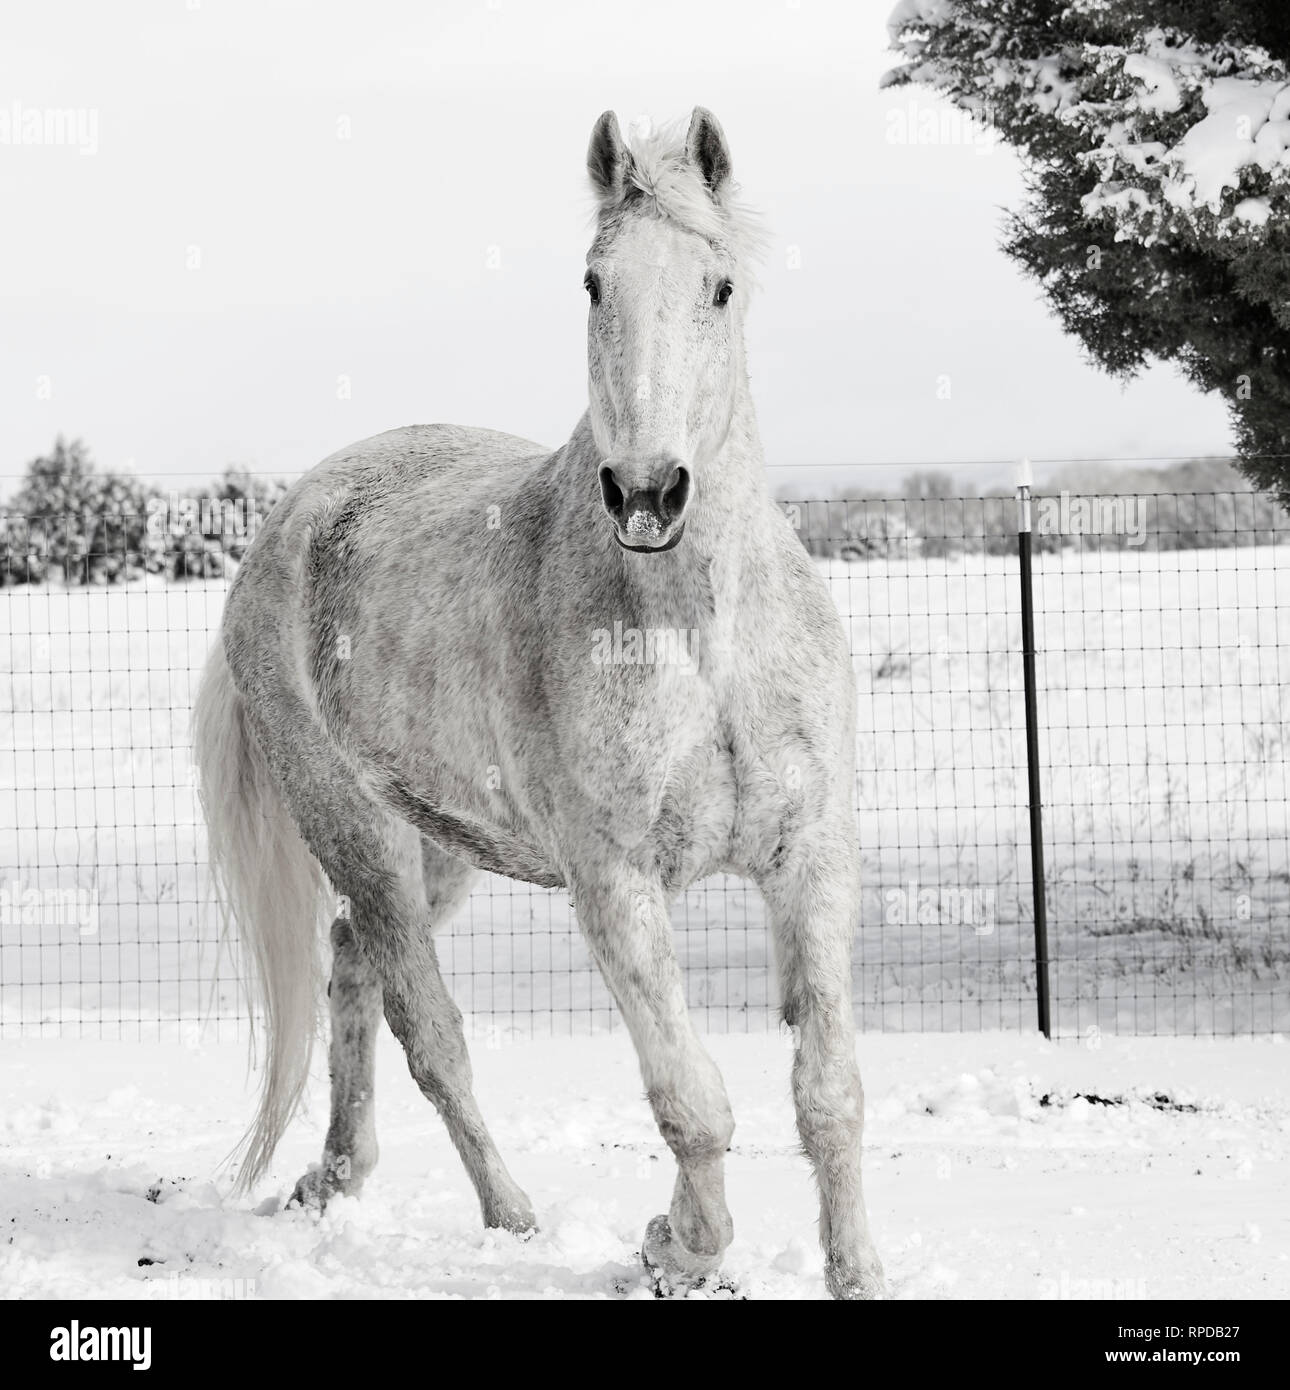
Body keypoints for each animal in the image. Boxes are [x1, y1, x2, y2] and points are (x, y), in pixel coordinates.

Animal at [192, 107, 885, 1299]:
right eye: (595, 283)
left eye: (719, 287)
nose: (647, 491)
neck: (703, 634)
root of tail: (288, 520)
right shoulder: (615, 884)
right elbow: (691, 1099)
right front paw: (672, 1245)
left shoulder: (812, 860)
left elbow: (827, 1094)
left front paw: (860, 1274)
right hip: (358, 835)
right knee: (429, 1030)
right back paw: (510, 1217)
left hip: (439, 848)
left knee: (349, 965)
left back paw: (336, 1176)